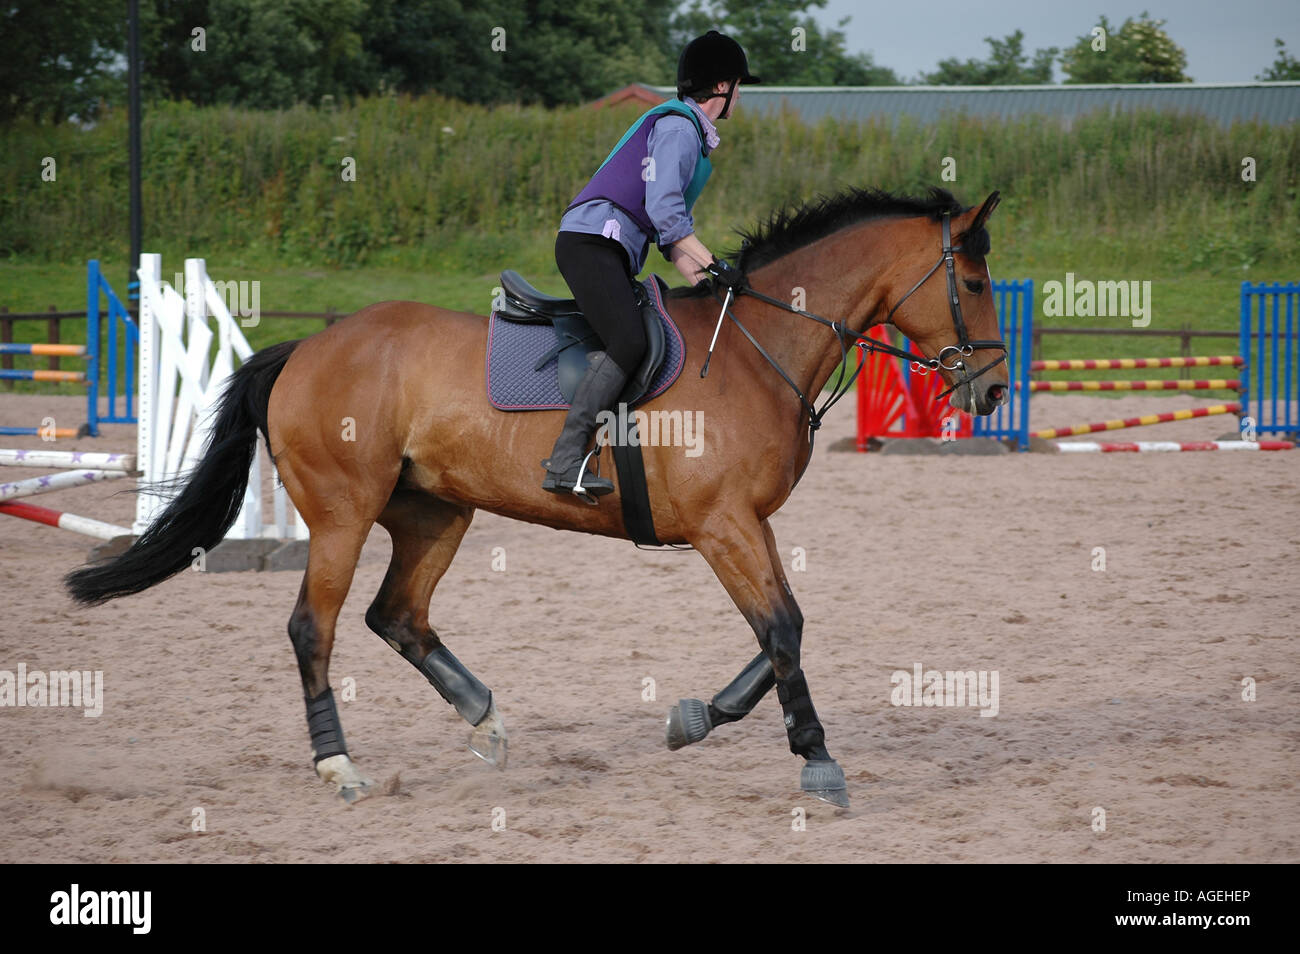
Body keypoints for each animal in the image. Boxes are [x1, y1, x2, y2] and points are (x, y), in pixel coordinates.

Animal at [66, 186, 1008, 808]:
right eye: (975, 283)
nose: (993, 390)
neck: (755, 346)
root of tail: (306, 347)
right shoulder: (722, 527)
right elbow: (779, 630)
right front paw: (816, 761)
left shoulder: (745, 525)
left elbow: (787, 630)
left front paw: (696, 717)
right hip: (342, 513)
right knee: (314, 628)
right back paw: (339, 766)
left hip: (436, 511)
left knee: (396, 615)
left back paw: (484, 720)